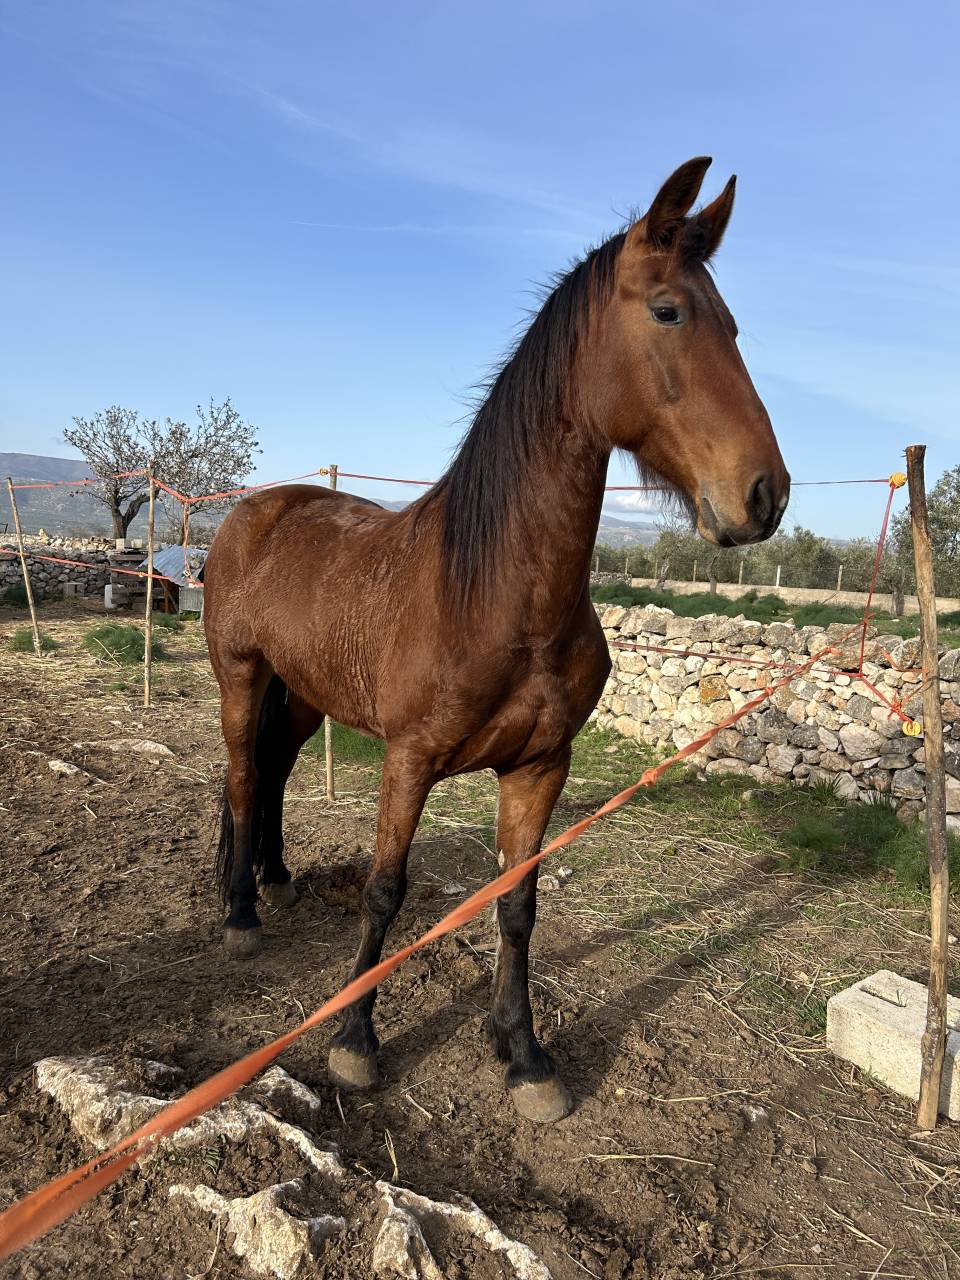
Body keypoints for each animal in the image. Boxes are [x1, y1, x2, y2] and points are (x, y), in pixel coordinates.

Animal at [203, 156, 790, 1123]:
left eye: (737, 325)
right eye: (668, 311)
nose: (764, 494)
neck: (498, 599)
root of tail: (255, 510)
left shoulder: (539, 767)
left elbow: (518, 907)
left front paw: (524, 1055)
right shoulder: (407, 761)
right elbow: (385, 892)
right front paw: (354, 1041)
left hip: (304, 693)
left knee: (272, 770)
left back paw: (272, 881)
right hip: (242, 677)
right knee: (247, 776)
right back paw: (241, 914)